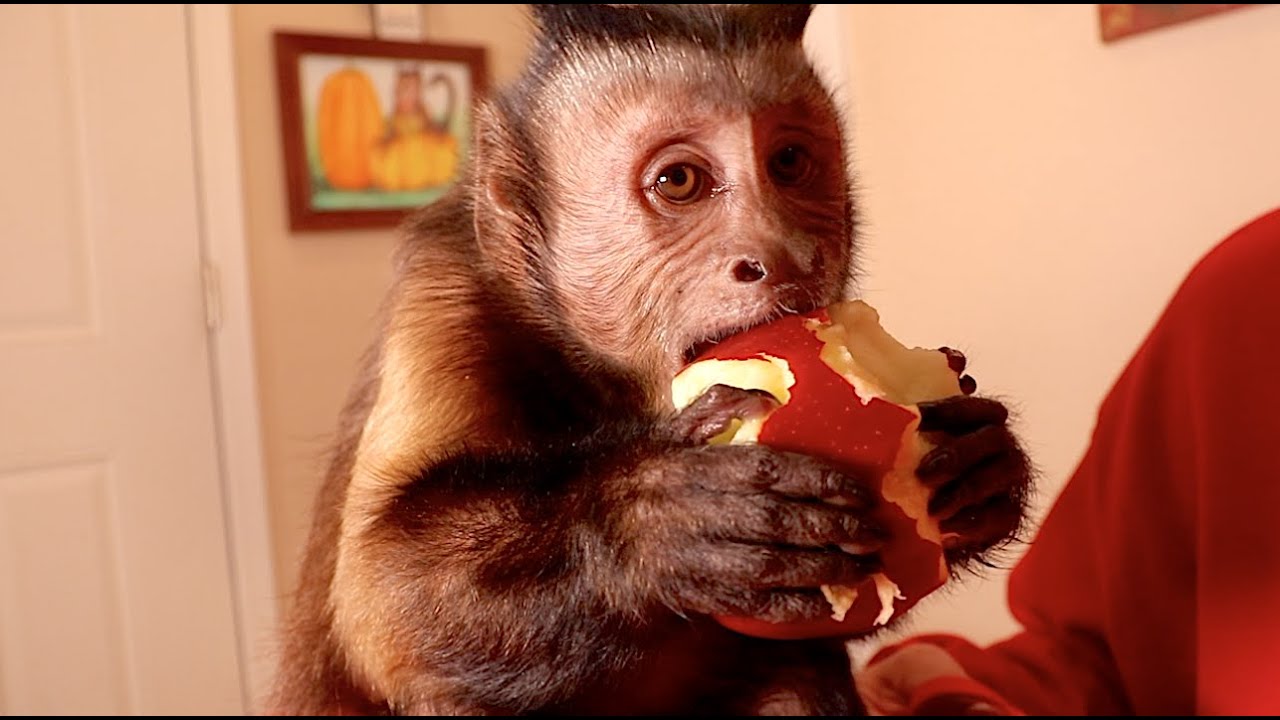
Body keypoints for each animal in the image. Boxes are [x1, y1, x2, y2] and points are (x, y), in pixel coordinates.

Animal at [266, 5, 1032, 716]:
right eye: (680, 181)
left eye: (789, 163)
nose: (780, 253)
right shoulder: (443, 300)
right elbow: (387, 597)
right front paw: (653, 522)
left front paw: (985, 468)